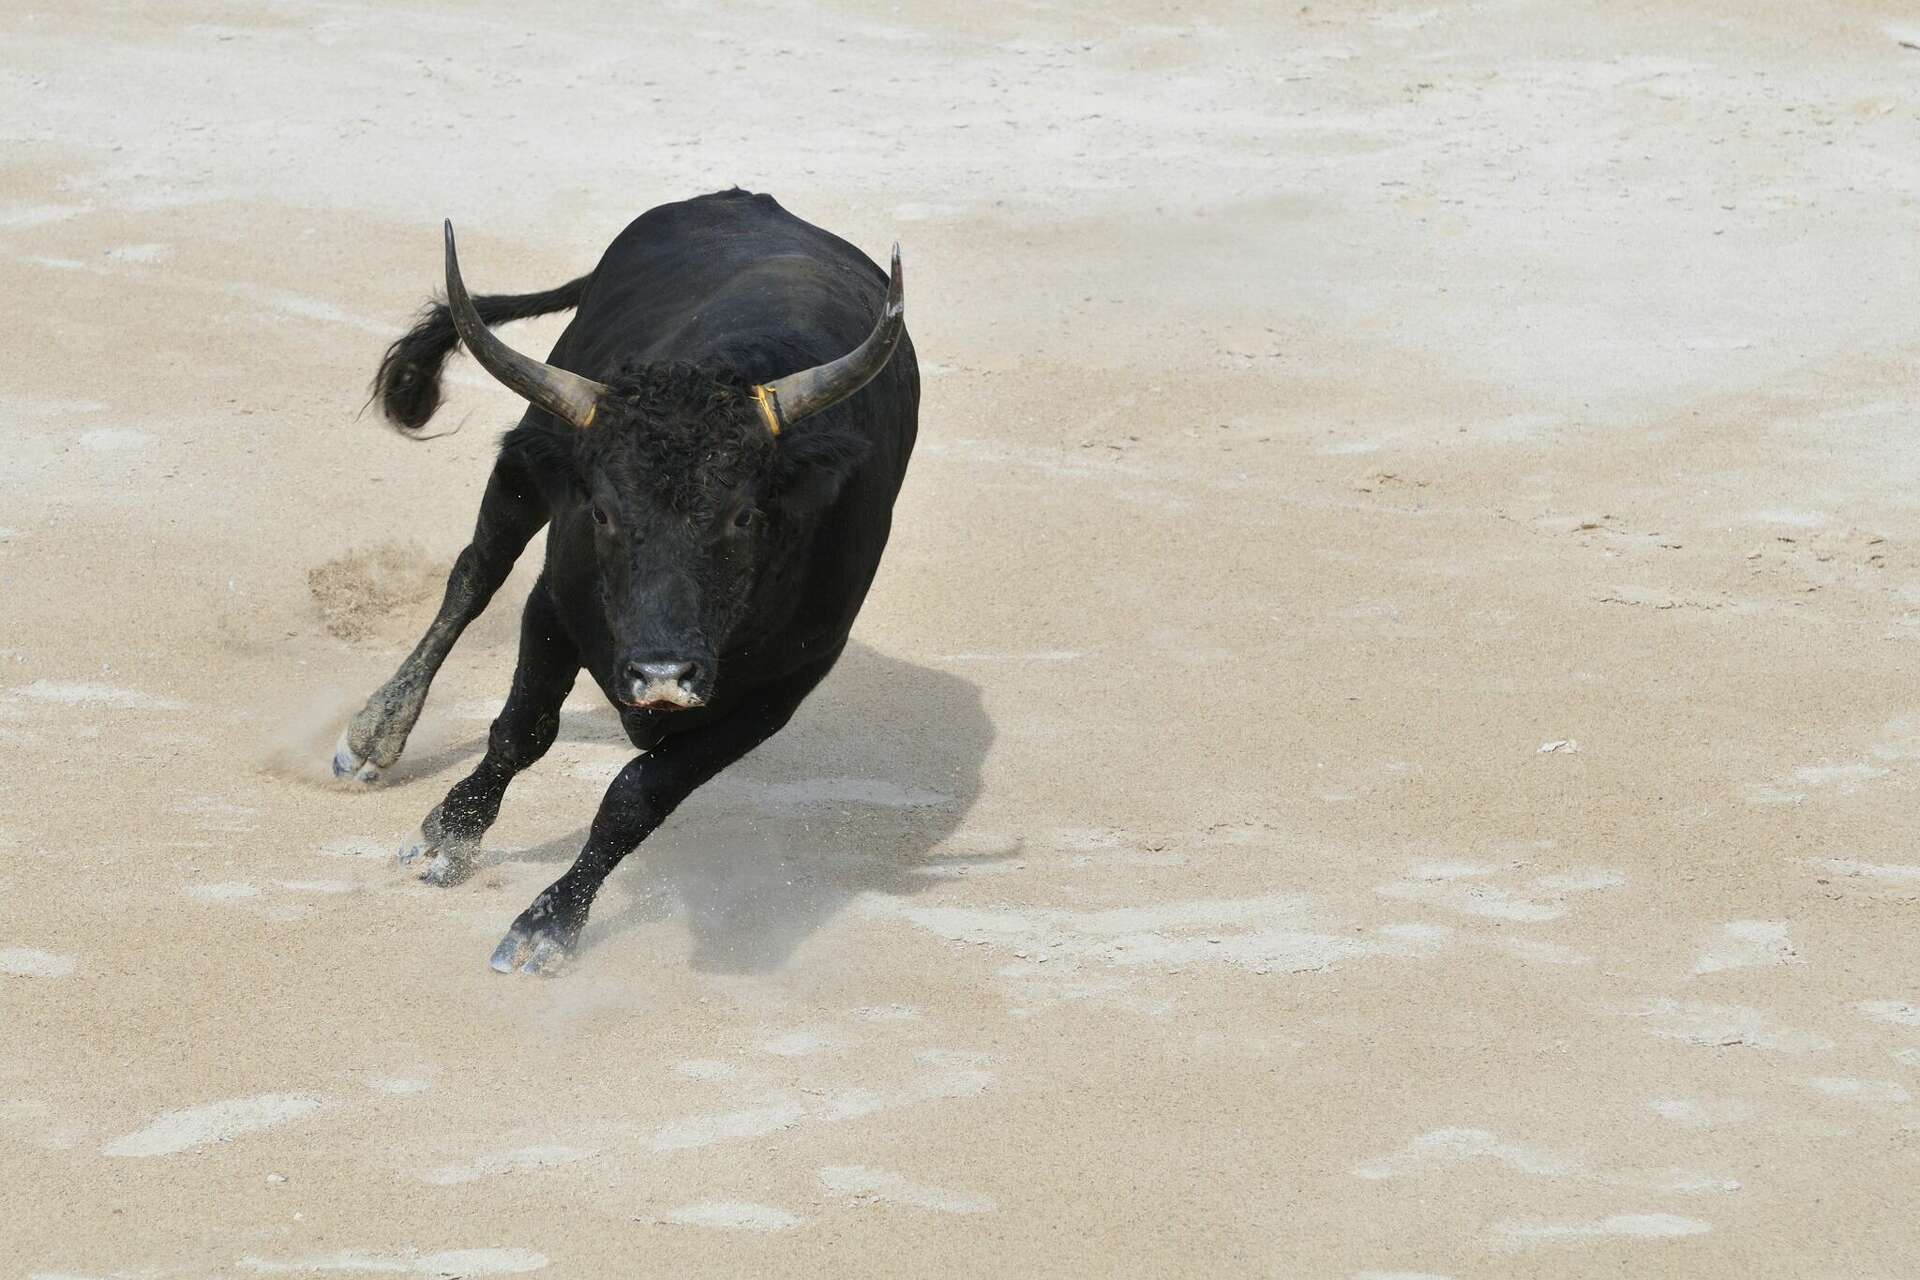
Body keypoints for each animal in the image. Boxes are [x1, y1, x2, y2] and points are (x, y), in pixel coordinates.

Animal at [332, 189, 917, 974]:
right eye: (604, 510)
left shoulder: (780, 689)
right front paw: (446, 837)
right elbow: (522, 731)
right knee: (475, 574)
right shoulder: (556, 604)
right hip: (525, 461)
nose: (661, 673)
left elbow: (638, 796)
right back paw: (376, 732)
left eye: (743, 515)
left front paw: (549, 922)